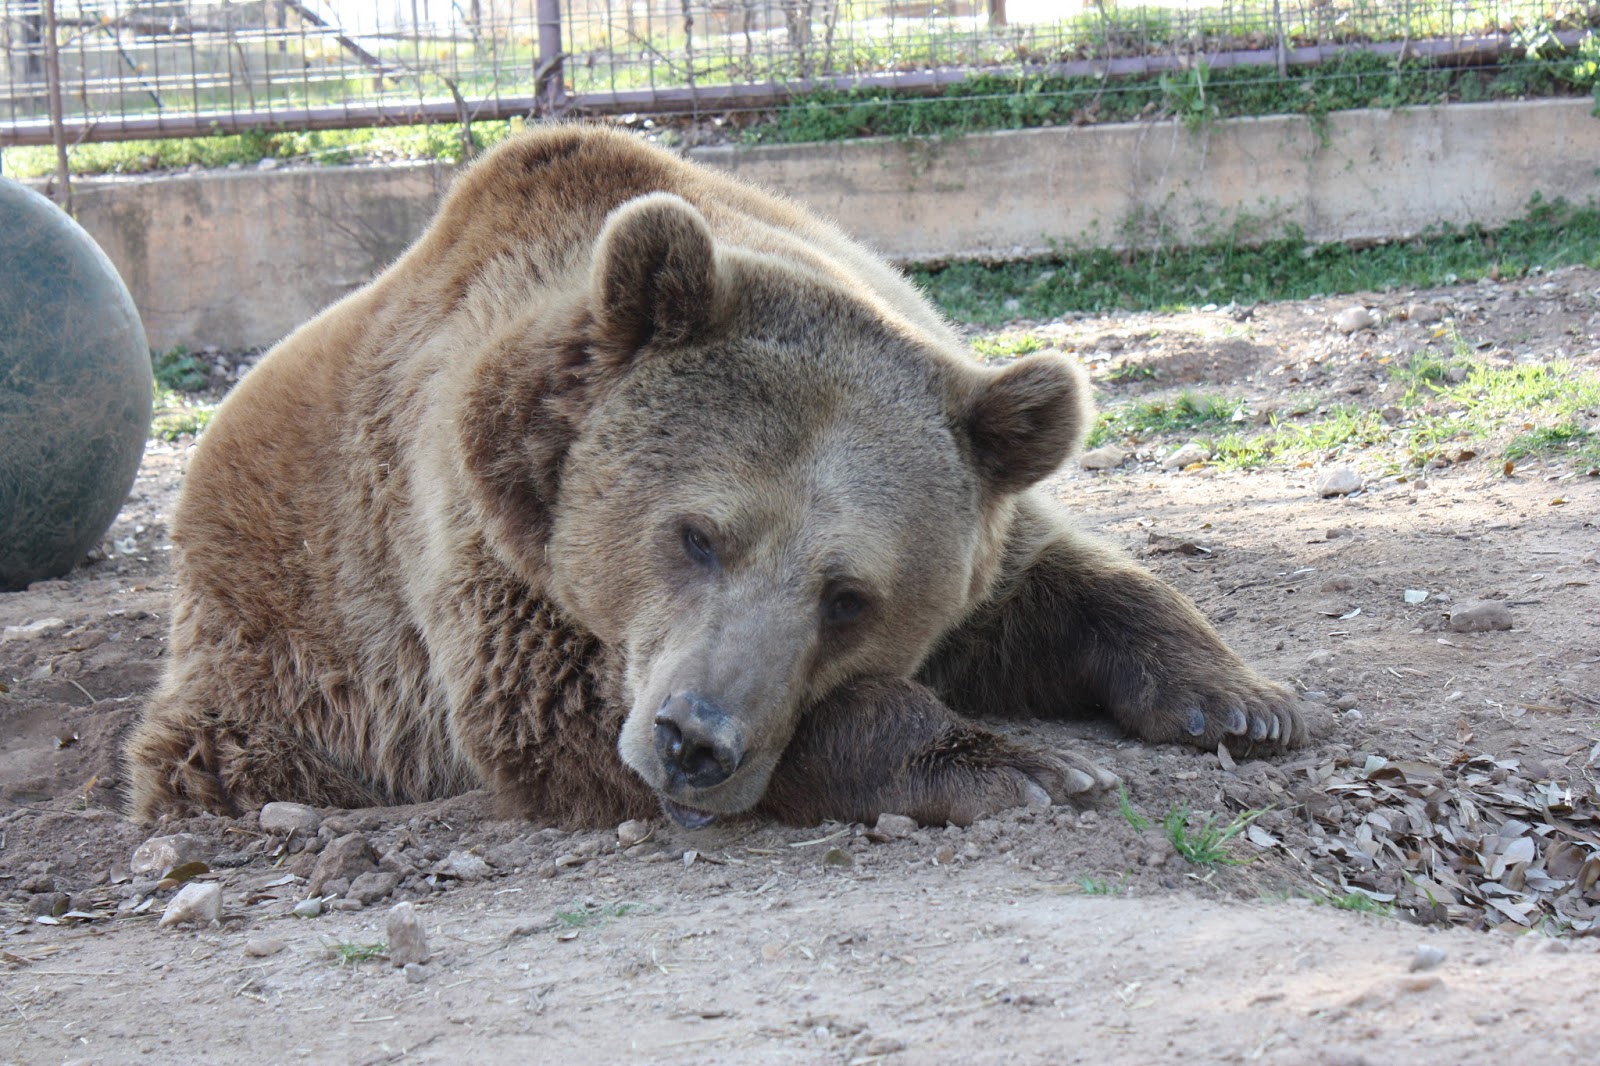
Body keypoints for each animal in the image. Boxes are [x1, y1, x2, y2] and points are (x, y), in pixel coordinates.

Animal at [125, 126, 1308, 831]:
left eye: (850, 595)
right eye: (695, 533)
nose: (695, 740)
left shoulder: (983, 506)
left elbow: (1065, 586)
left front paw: (1243, 703)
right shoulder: (484, 528)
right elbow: (556, 707)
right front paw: (1013, 762)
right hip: (279, 644)